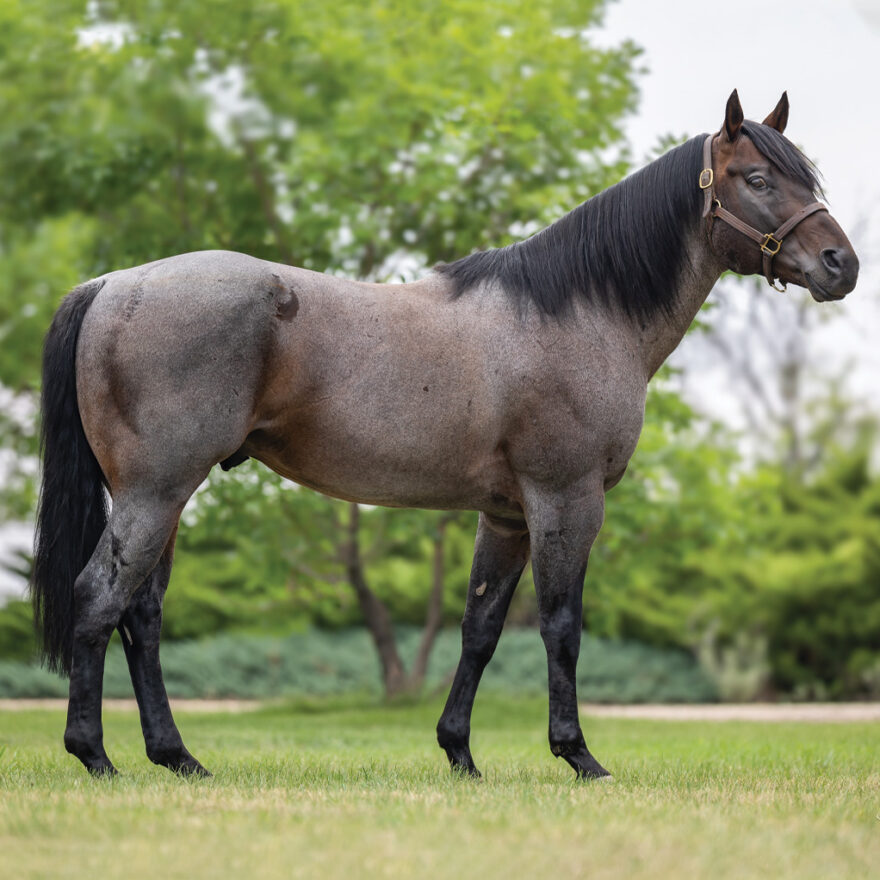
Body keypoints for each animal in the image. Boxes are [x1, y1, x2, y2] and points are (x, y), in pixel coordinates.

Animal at [32, 90, 858, 779]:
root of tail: (113, 284)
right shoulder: (566, 500)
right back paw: (95, 756)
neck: (578, 312)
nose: (840, 264)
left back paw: (177, 758)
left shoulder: (507, 515)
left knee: (141, 614)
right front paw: (578, 756)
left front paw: (459, 752)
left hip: (164, 497)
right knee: (100, 599)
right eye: (757, 178)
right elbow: (561, 626)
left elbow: (480, 629)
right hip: (157, 490)